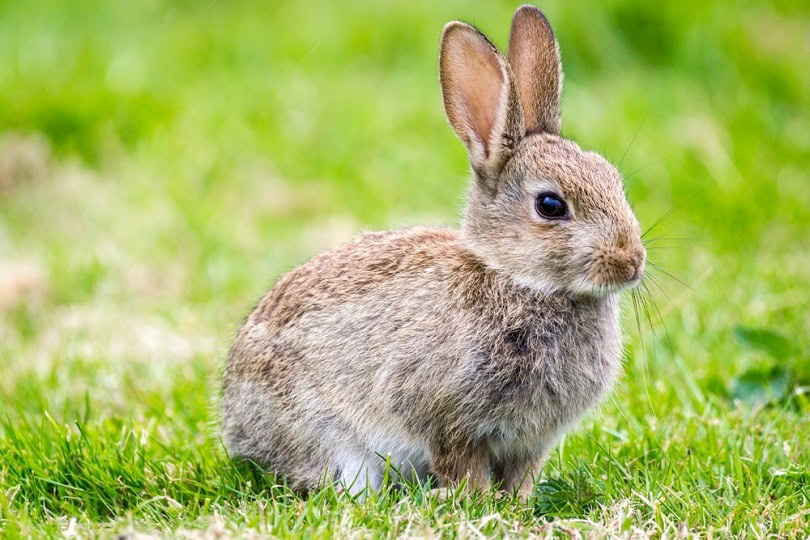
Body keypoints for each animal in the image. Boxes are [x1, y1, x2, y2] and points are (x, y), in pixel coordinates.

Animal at [222, 4, 645, 499]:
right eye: (550, 205)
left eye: (613, 179)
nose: (631, 261)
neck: (515, 279)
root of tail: (233, 425)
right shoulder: (447, 419)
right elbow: (461, 464)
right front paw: (476, 501)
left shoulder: (531, 442)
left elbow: (521, 476)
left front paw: (517, 504)